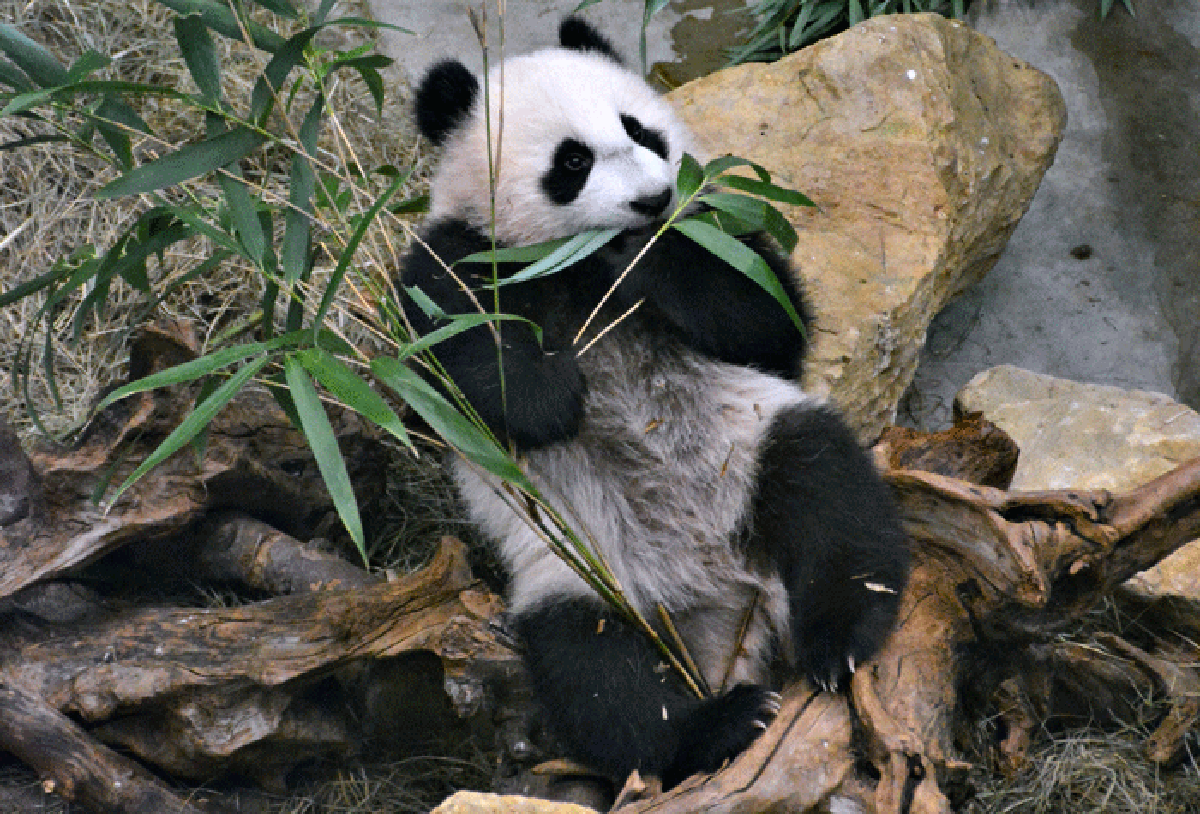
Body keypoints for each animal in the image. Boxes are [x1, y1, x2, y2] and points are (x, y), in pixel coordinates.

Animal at [400, 17, 910, 789]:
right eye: (572, 161)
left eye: (641, 131)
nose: (651, 200)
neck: (581, 265)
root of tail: (724, 606)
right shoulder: (452, 257)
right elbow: (451, 368)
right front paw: (553, 393)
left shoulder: (717, 229)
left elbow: (768, 318)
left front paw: (651, 257)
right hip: (581, 570)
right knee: (601, 675)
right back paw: (723, 724)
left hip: (752, 444)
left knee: (830, 498)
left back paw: (838, 638)